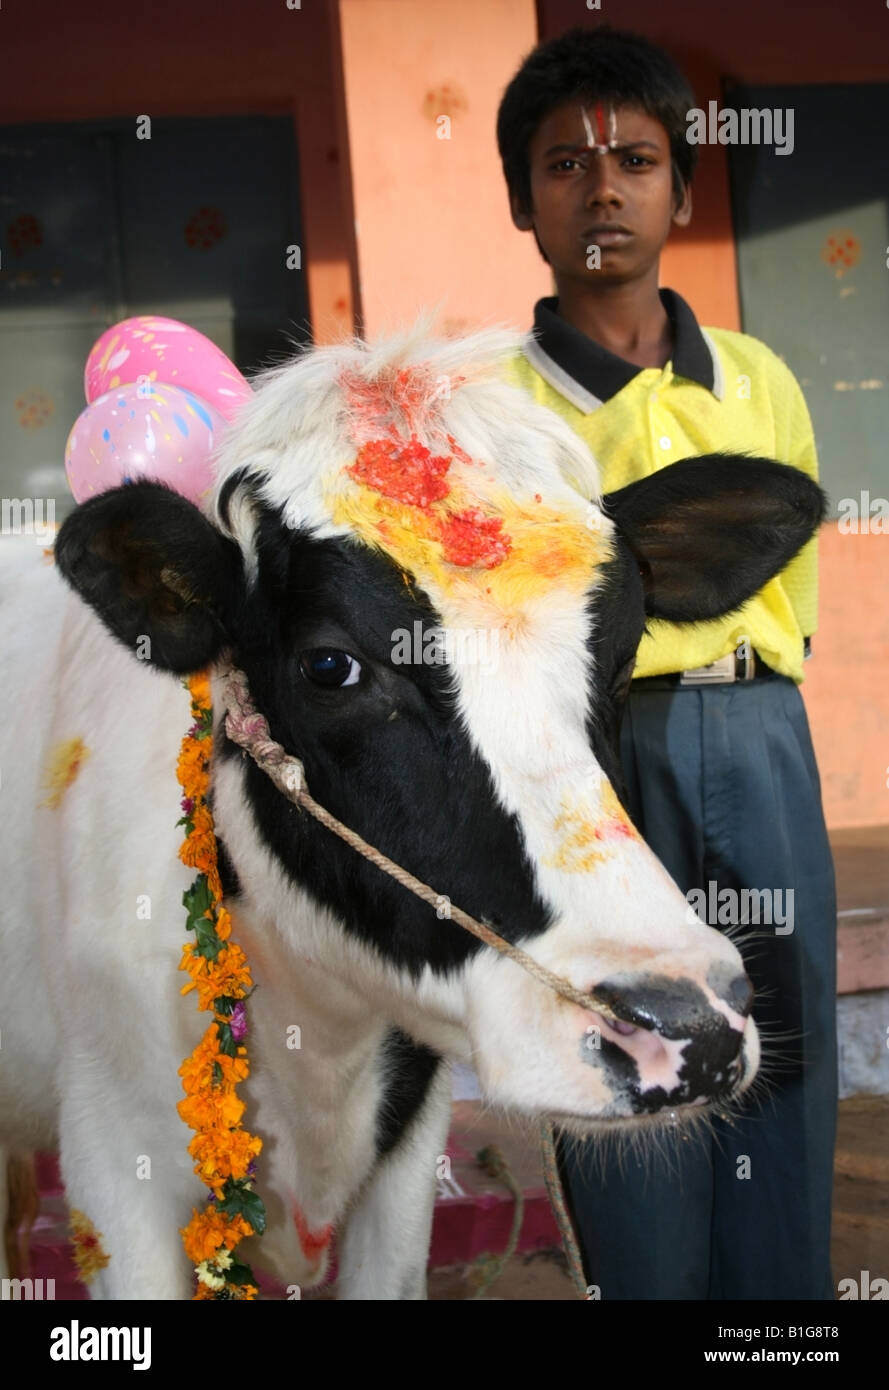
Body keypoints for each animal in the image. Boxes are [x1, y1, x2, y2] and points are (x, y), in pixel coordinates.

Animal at [0, 323, 823, 1300]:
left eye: (623, 662)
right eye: (330, 666)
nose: (689, 1025)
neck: (317, 1039)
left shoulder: (404, 1164)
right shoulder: (111, 1156)